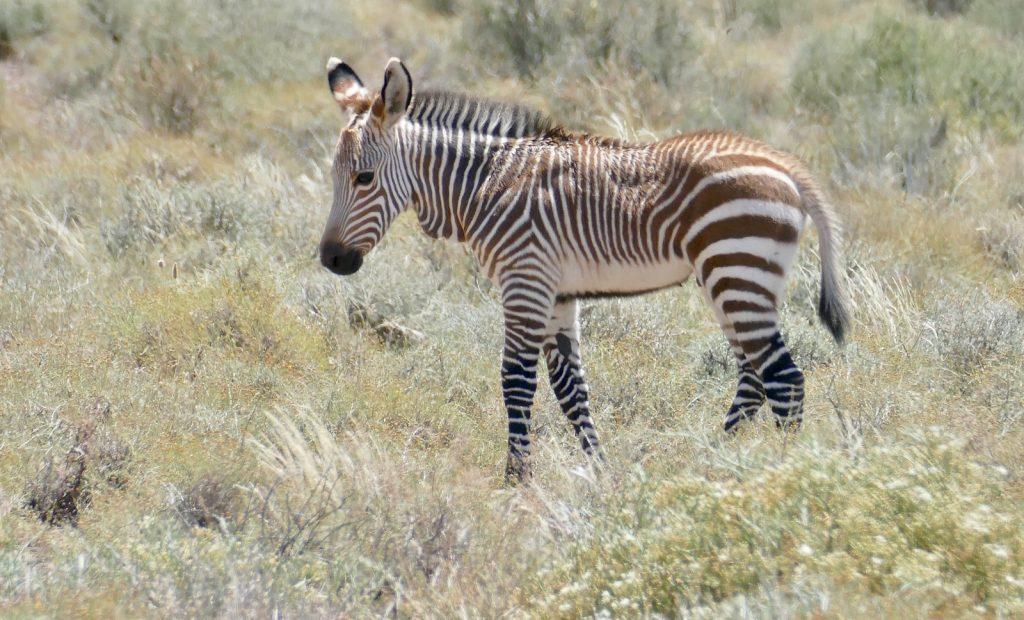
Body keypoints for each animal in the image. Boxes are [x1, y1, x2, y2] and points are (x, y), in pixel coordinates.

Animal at [318, 58, 851, 482]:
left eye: (364, 178)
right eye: (333, 176)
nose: (331, 260)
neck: (488, 185)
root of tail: (785, 166)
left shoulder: (525, 281)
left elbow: (516, 381)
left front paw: (516, 480)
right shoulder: (556, 293)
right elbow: (570, 388)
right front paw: (601, 472)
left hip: (737, 272)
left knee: (784, 379)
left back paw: (781, 472)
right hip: (734, 280)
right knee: (754, 376)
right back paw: (713, 461)